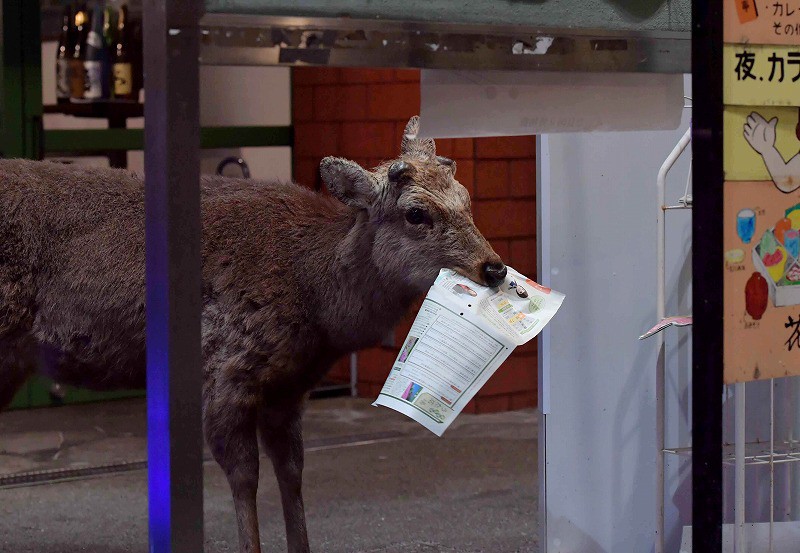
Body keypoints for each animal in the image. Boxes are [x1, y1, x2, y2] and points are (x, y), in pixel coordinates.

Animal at [0, 116, 507, 553]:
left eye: (466, 197)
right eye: (416, 213)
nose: (495, 268)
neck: (316, 299)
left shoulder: (290, 386)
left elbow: (293, 468)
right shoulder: (227, 368)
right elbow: (244, 474)